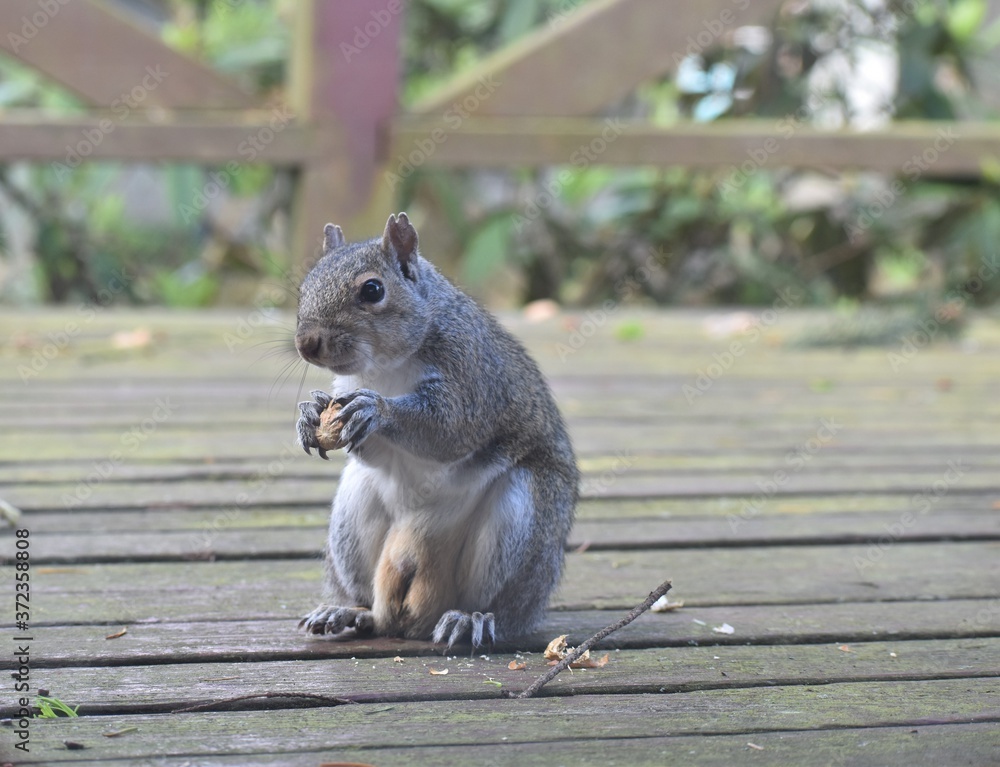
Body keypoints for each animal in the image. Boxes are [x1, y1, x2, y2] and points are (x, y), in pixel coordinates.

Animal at [294, 213, 579, 650]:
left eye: (373, 289)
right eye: (305, 286)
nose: (306, 343)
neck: (386, 368)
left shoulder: (472, 377)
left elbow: (450, 429)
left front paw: (378, 410)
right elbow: (371, 452)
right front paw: (309, 414)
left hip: (524, 522)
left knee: (503, 609)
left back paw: (471, 618)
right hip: (353, 511)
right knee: (372, 607)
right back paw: (348, 611)